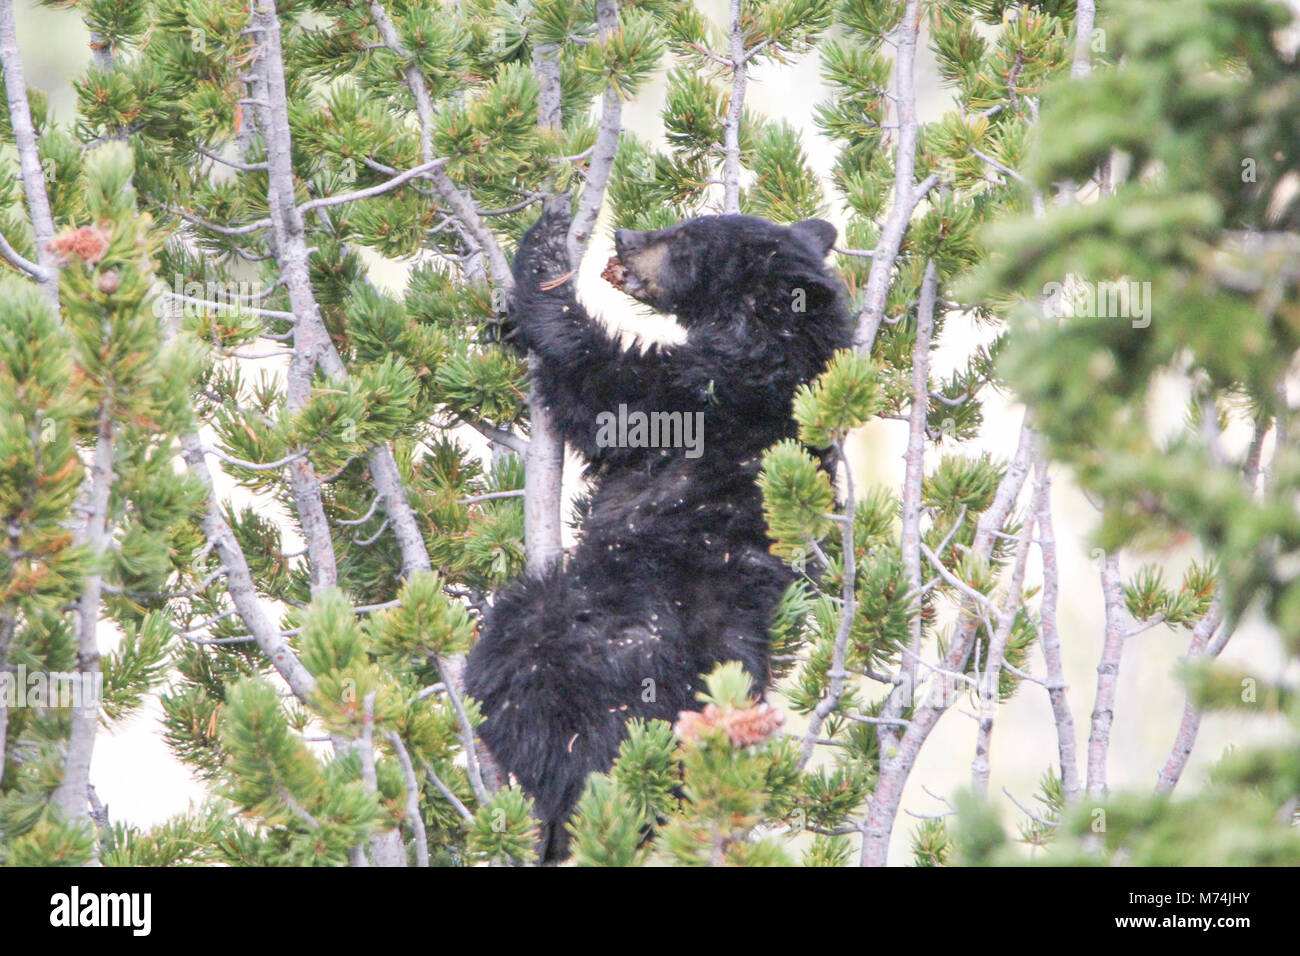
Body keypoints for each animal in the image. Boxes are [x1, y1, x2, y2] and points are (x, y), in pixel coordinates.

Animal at [464, 200, 852, 860]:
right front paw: (506, 320)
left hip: (575, 629)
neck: (778, 357)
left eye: (687, 239)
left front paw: (548, 251)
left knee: (517, 652)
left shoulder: (703, 397)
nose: (625, 235)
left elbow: (604, 388)